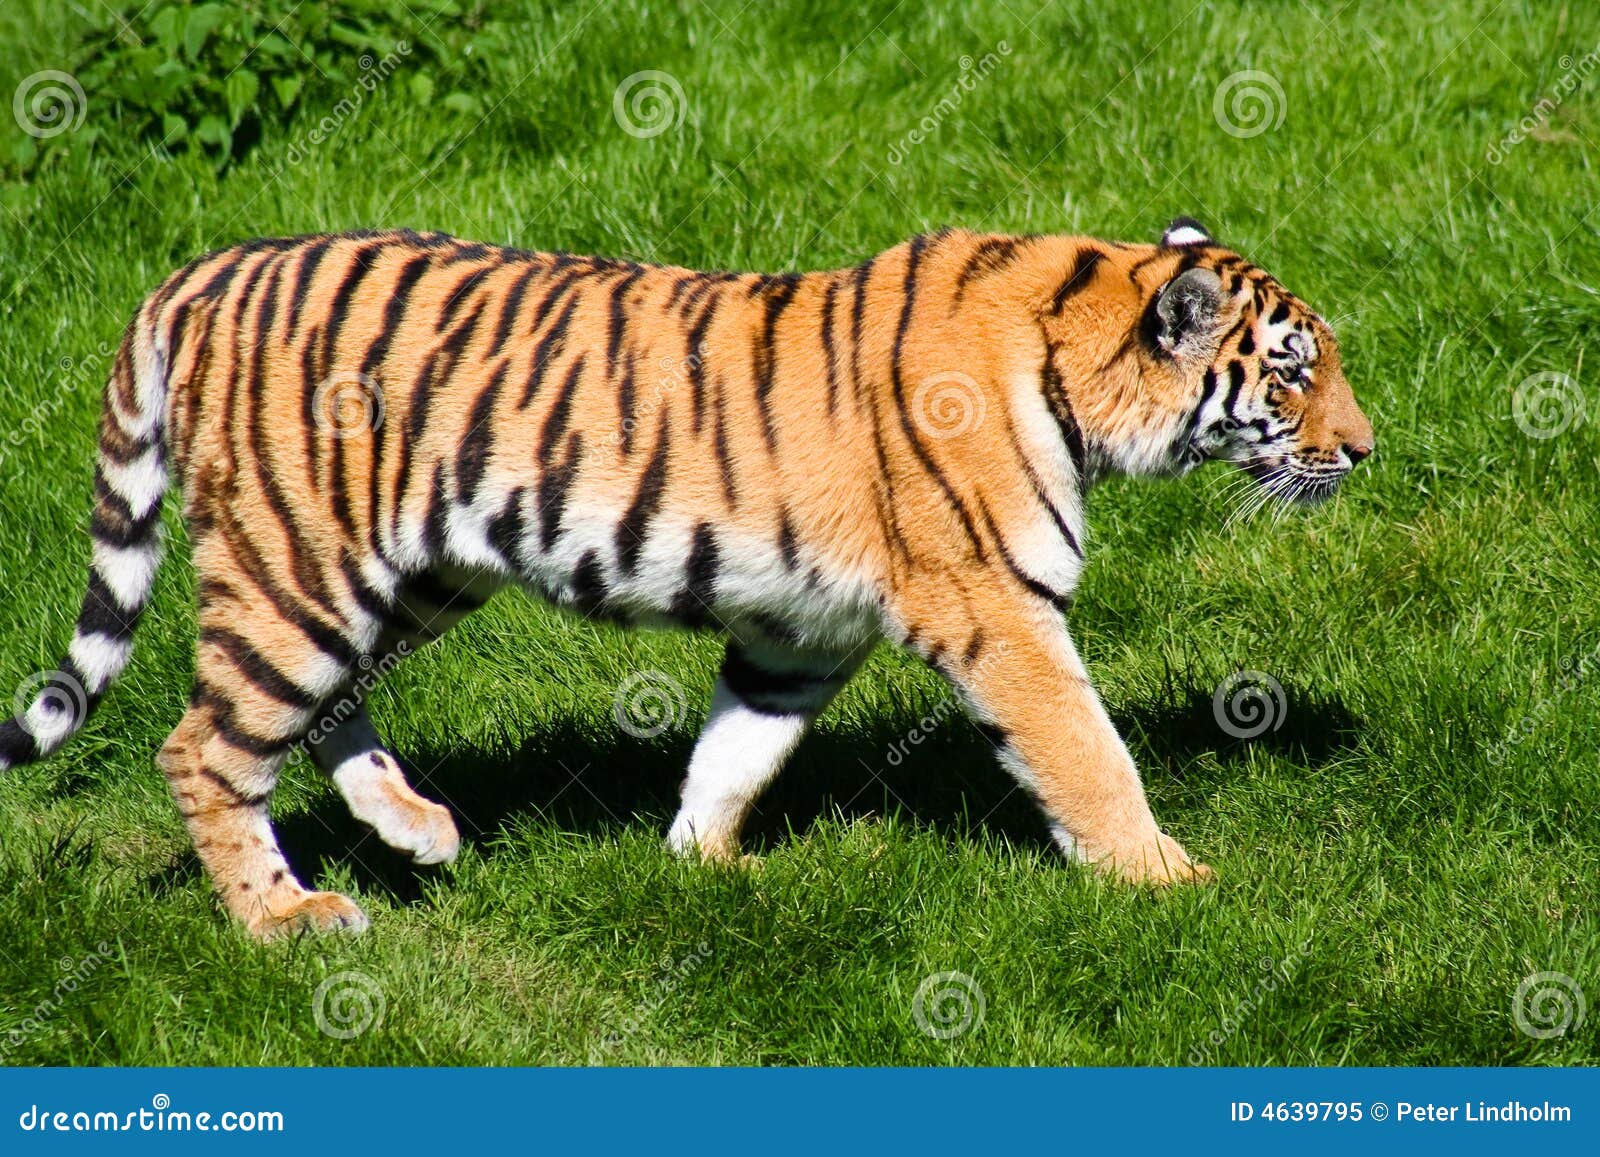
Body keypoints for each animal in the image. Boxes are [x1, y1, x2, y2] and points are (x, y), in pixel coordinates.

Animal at [0, 217, 1373, 938]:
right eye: (1294, 371)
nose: (1364, 448)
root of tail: (205, 268)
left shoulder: (799, 631)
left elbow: (738, 746)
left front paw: (702, 863)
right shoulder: (998, 606)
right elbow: (1088, 751)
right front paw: (1172, 884)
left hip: (411, 573)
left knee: (318, 705)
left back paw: (416, 826)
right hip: (299, 566)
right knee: (205, 745)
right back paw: (283, 920)